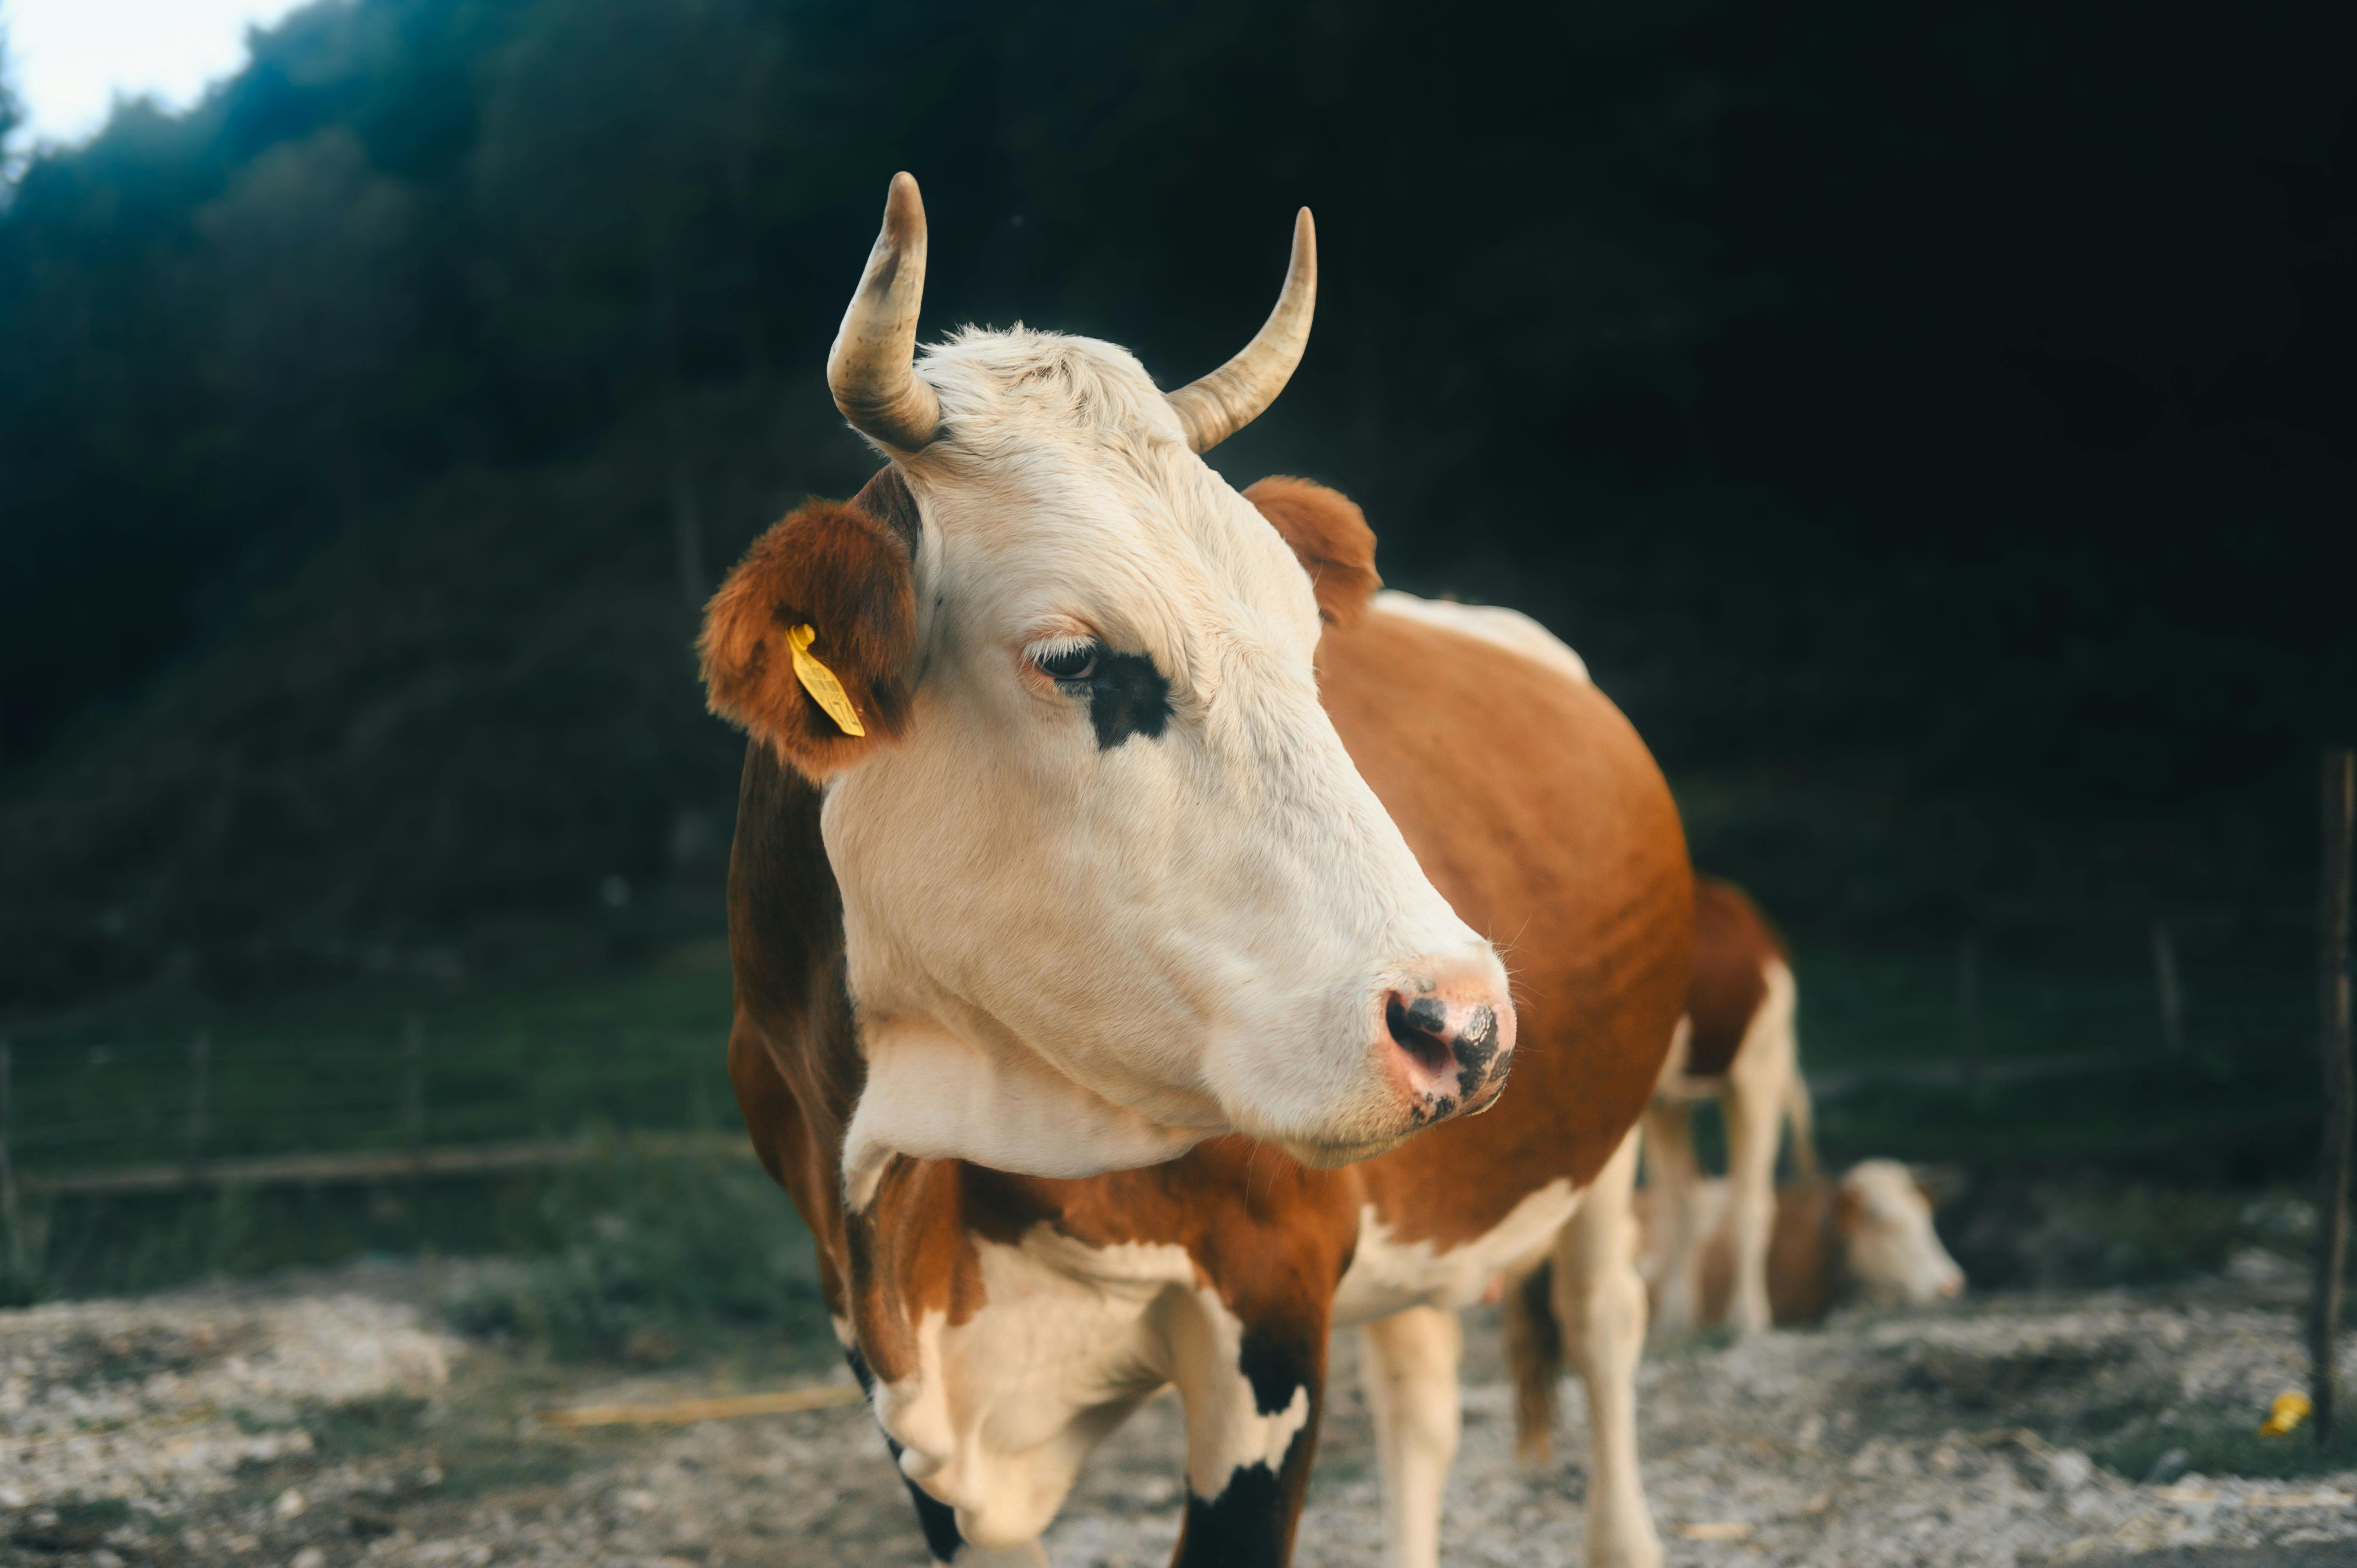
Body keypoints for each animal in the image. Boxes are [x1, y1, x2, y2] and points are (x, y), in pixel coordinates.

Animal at [702, 174, 1692, 1568]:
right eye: (1073, 658)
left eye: (1306, 636)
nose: (1458, 1022)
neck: (924, 1169)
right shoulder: (894, 1382)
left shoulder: (1270, 1305)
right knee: (1423, 1394)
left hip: (1603, 1140)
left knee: (1606, 1331)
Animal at [1641, 876, 1817, 1340]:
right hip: (1667, 1103)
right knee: (1686, 1201)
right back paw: (1675, 1319)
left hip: (1759, 1070)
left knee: (1750, 1201)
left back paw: (1747, 1319)